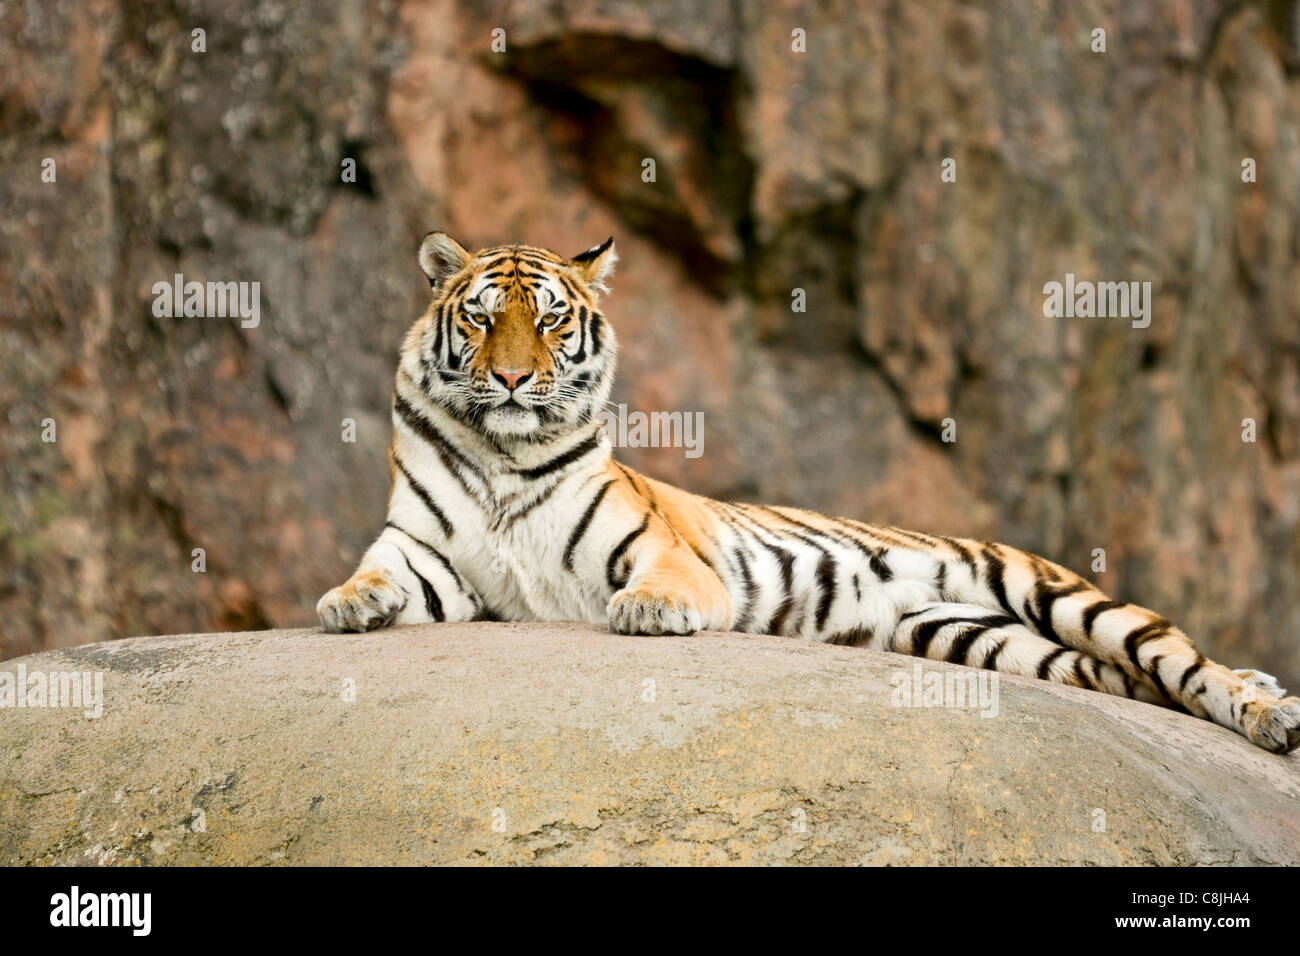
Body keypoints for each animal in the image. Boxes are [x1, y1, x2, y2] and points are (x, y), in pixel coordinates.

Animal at [317, 231, 1300, 754]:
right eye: (483, 318)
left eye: (552, 319)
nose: (515, 378)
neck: (503, 451)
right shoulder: (429, 554)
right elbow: (379, 576)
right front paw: (345, 604)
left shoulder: (664, 550)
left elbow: (656, 581)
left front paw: (646, 613)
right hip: (983, 638)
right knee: (1138, 680)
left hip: (1056, 593)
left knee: (1182, 661)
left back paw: (1271, 711)